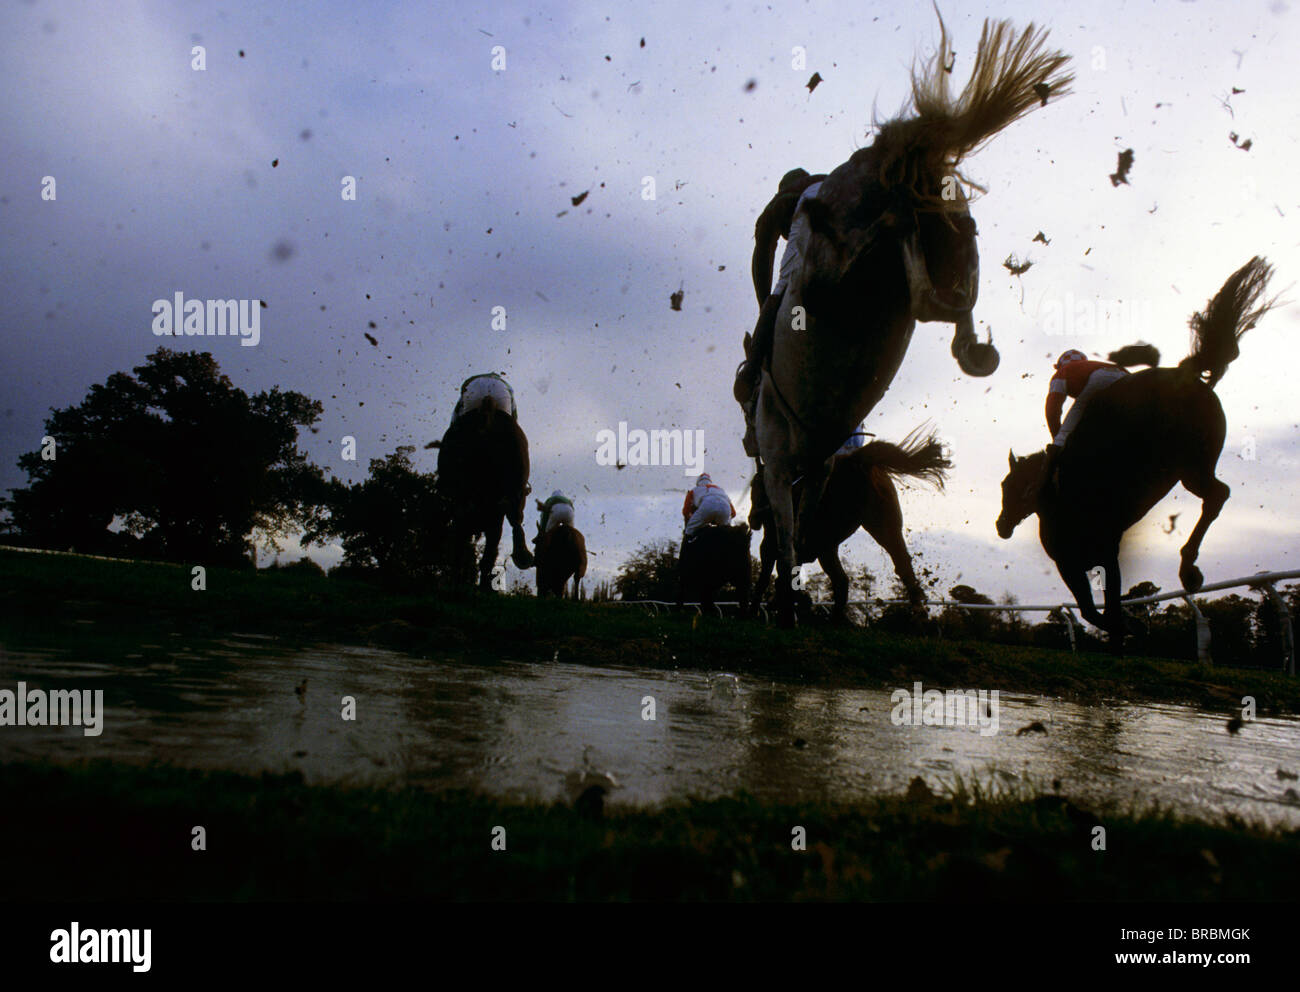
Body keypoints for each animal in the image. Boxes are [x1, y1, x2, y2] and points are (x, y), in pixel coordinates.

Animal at [749, 429, 950, 622]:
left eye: (754, 487)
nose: (753, 519)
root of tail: (856, 459)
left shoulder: (770, 547)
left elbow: (765, 578)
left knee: (841, 580)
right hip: (882, 526)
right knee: (898, 564)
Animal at [997, 256, 1278, 652]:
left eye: (1007, 487)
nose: (1001, 525)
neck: (1054, 493)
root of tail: (1186, 373)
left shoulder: (1097, 554)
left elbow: (1105, 609)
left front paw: (1130, 627)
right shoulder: (1080, 562)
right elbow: (1094, 610)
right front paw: (1131, 626)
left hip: (1190, 463)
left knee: (1217, 495)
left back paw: (1188, 569)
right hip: (1191, 466)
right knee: (1216, 495)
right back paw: (1189, 569)